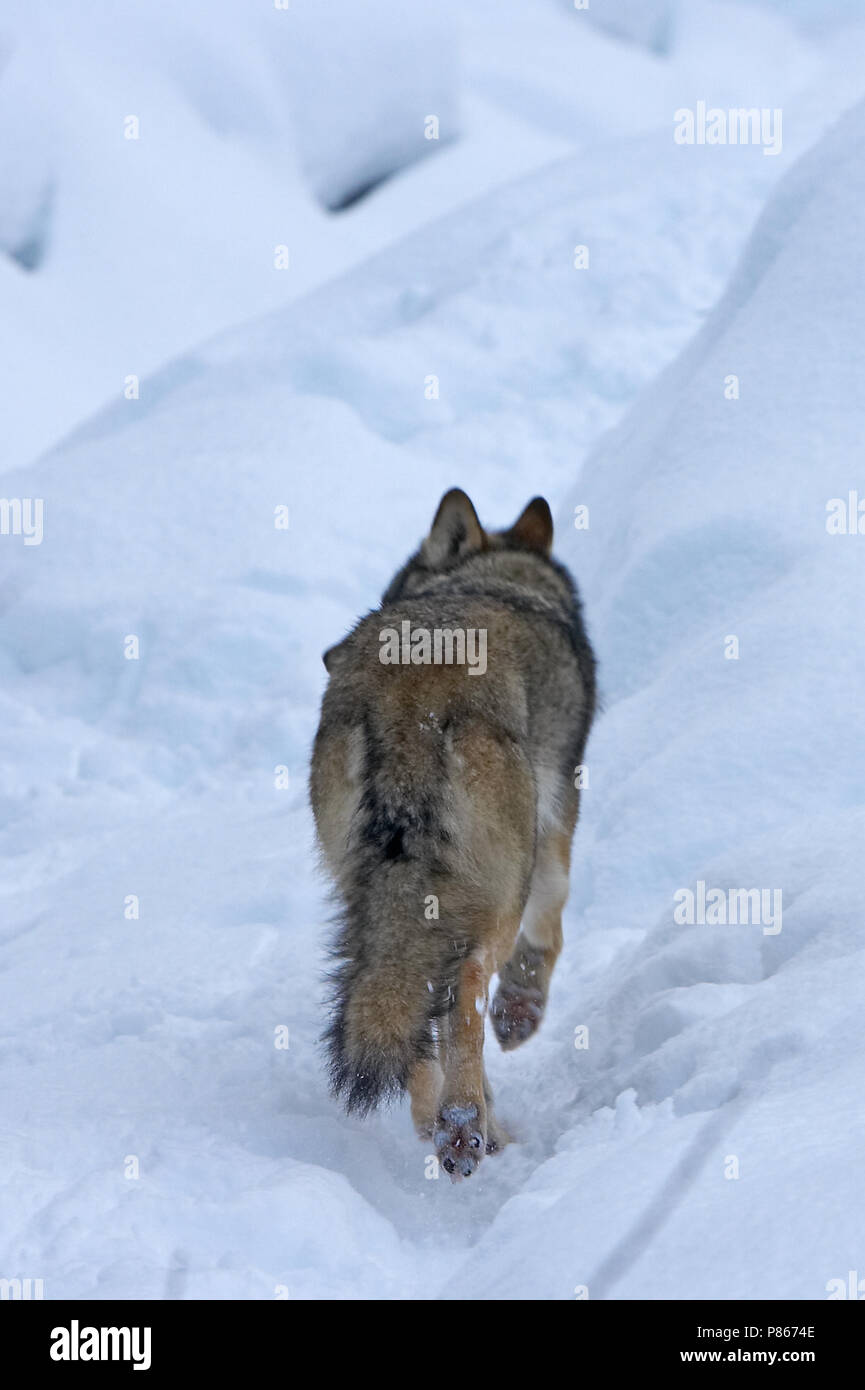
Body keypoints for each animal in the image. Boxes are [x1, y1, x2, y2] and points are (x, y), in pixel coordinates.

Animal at [310, 489, 596, 1179]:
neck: (497, 578)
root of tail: (408, 693)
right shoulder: (559, 816)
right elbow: (551, 925)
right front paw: (520, 1015)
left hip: (375, 902)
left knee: (416, 1006)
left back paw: (446, 1125)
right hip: (496, 889)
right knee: (464, 987)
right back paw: (464, 1127)